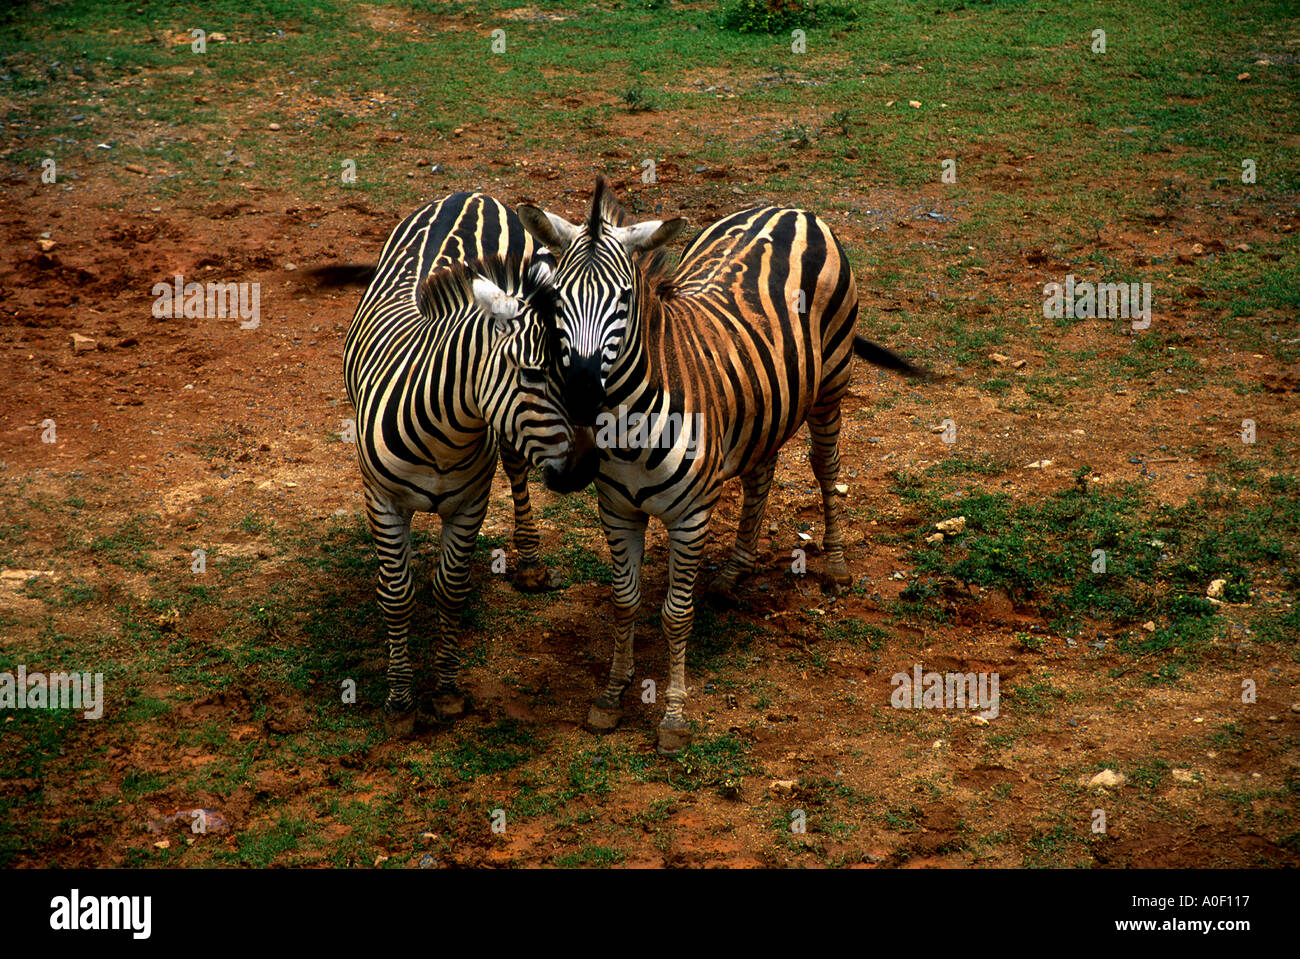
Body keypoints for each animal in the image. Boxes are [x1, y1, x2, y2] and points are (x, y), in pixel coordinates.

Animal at [342, 192, 596, 733]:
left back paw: (530, 564)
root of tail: (470, 194)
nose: (586, 469)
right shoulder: (382, 501)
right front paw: (400, 701)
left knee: (516, 466)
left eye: (572, 369)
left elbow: (449, 590)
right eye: (531, 373)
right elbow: (397, 593)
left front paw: (447, 691)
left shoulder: (469, 505)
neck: (444, 437)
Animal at [517, 177, 927, 754]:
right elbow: (624, 602)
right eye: (555, 299)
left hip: (832, 381)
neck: (628, 426)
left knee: (826, 468)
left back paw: (835, 564)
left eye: (625, 297)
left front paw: (673, 718)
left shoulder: (689, 519)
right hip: (765, 406)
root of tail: (787, 208)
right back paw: (735, 572)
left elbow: (675, 614)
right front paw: (611, 697)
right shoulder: (617, 511)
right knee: (761, 473)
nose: (579, 394)